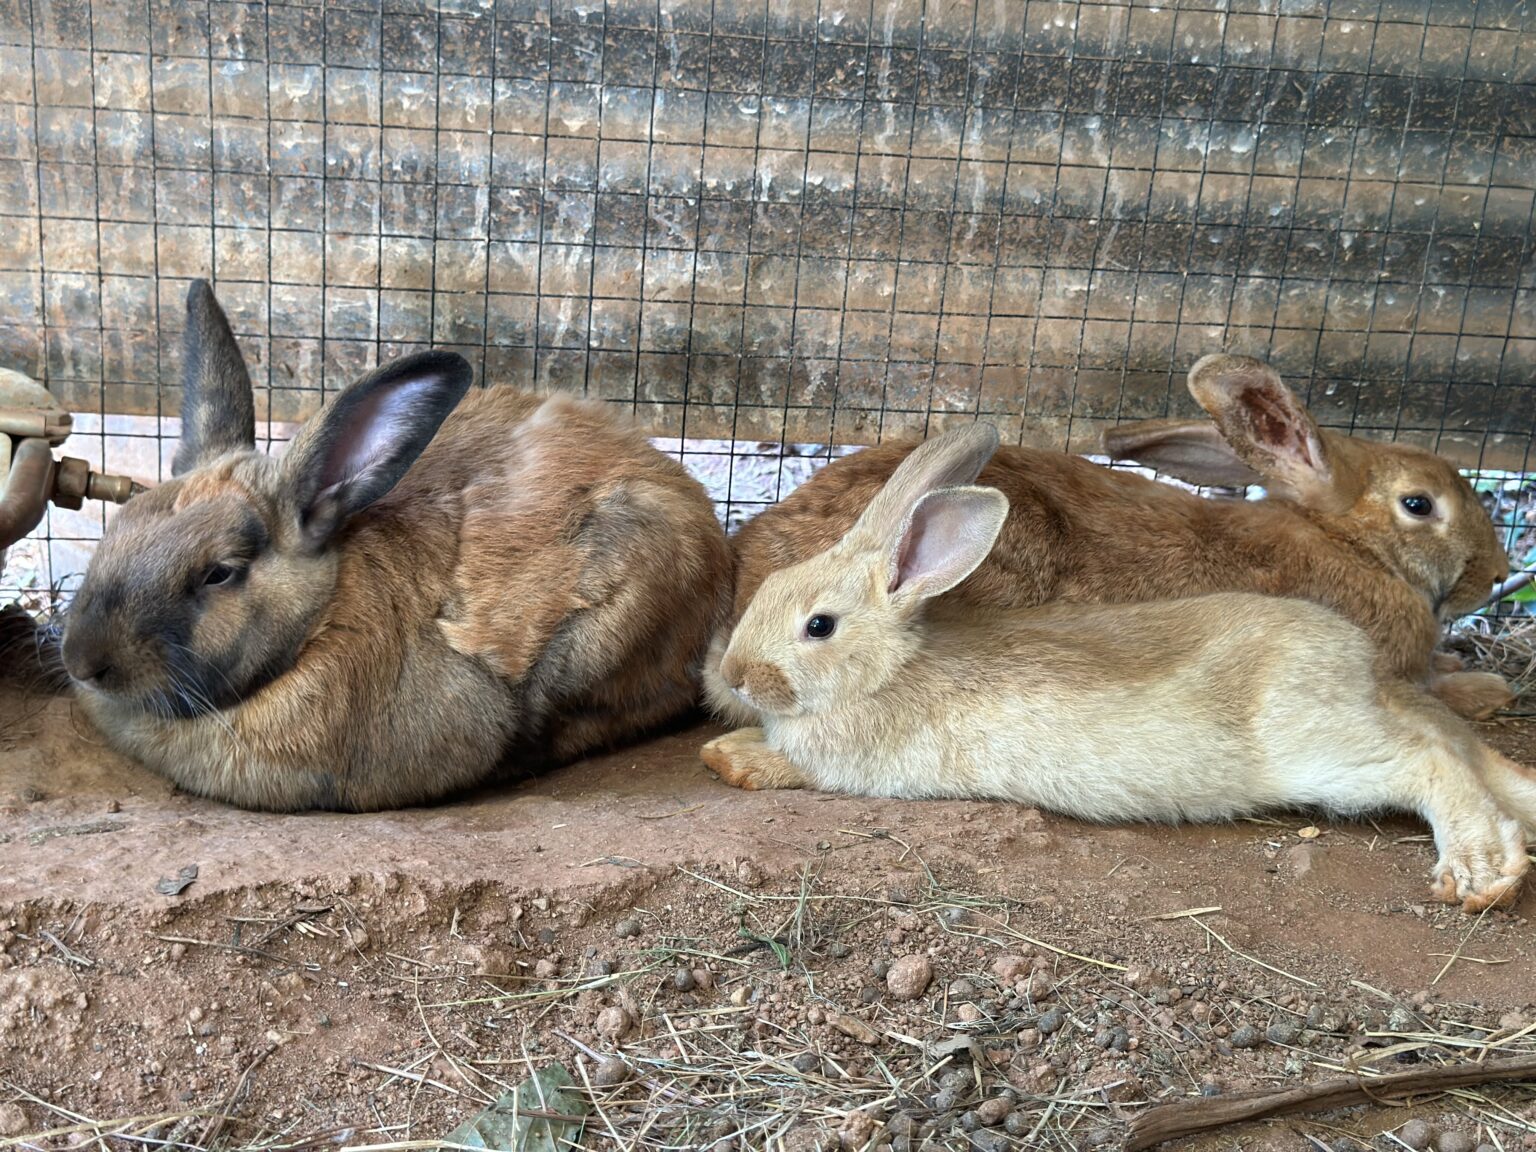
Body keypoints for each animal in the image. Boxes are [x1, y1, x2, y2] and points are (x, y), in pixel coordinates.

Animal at [702, 424, 1536, 913]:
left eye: (818, 626)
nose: (736, 673)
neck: (885, 667)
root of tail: (1357, 664)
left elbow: (792, 762)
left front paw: (731, 757)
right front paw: (723, 749)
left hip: (1326, 751)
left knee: (1429, 762)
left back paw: (1480, 874)